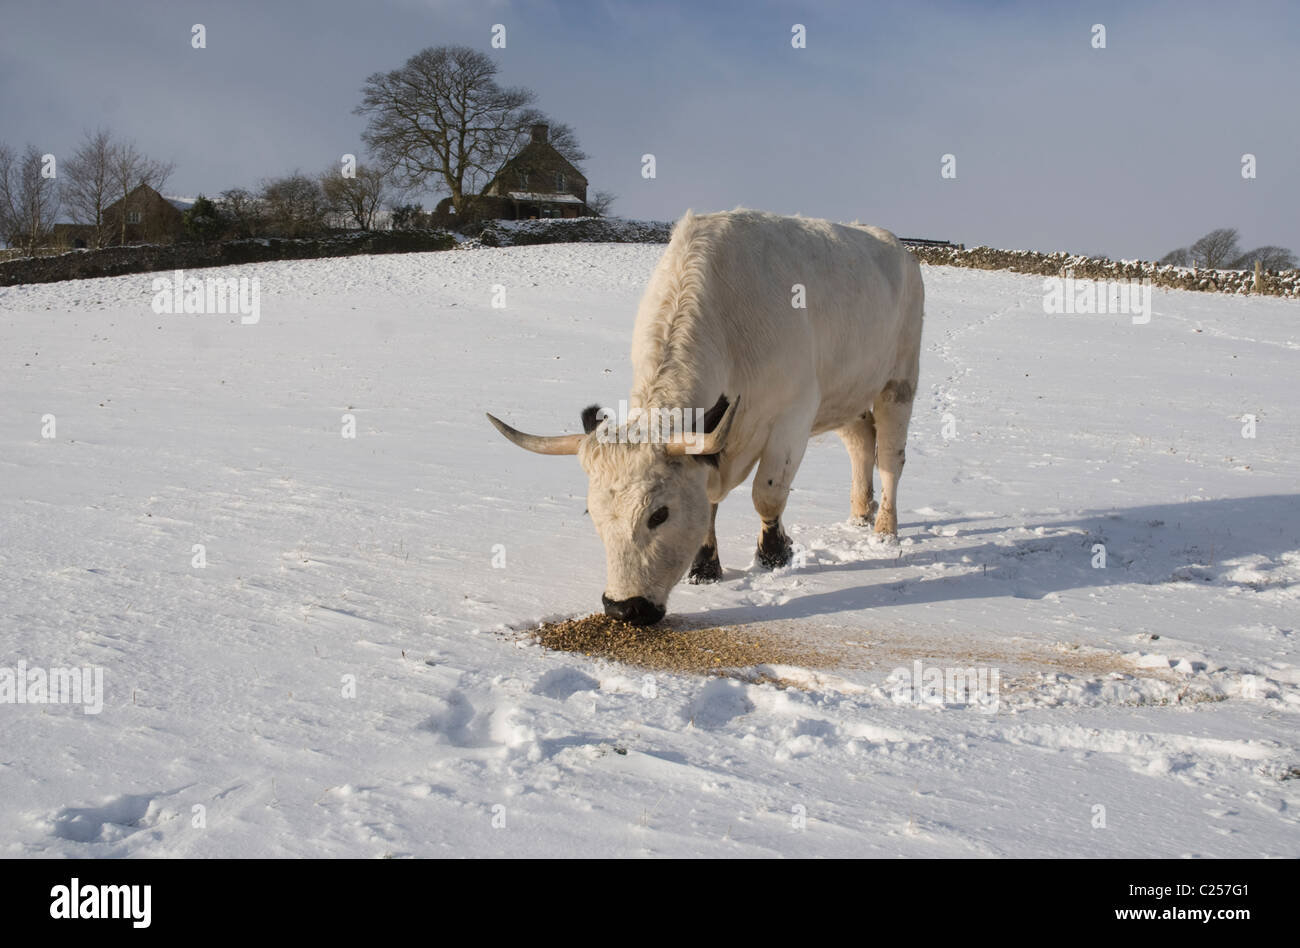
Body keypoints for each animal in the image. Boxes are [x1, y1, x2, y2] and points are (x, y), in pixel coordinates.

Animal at [488, 208, 924, 625]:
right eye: (590, 512)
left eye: (659, 513)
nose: (624, 608)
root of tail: (898, 248)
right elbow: (711, 499)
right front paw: (705, 567)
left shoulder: (793, 417)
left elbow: (767, 494)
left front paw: (774, 555)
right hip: (848, 394)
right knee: (861, 444)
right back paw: (860, 515)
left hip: (899, 382)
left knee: (890, 457)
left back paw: (885, 531)